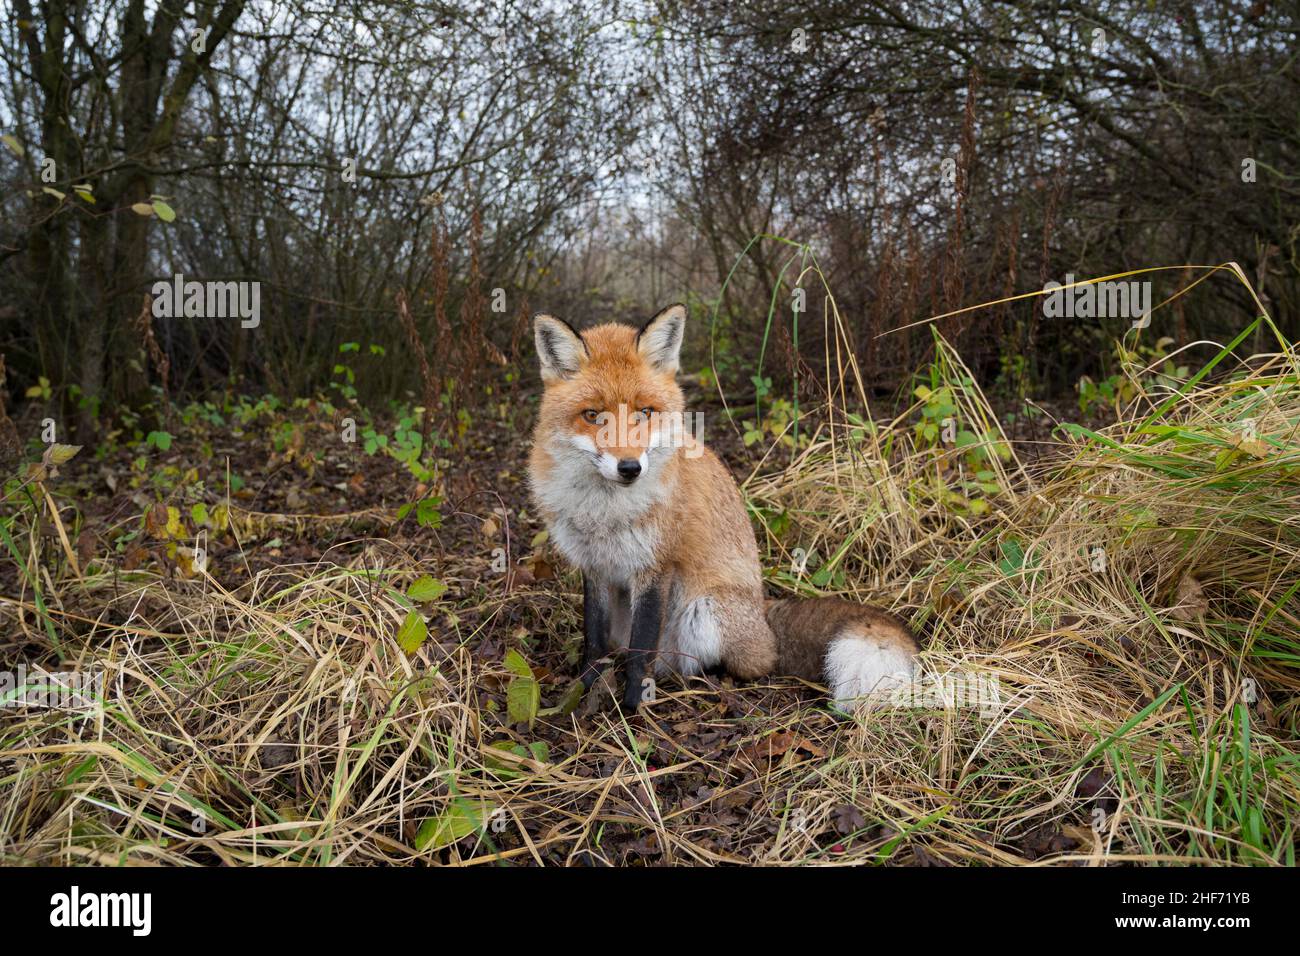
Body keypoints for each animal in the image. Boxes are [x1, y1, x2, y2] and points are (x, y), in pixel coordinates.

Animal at [528, 303, 919, 714]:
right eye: (593, 415)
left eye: (645, 412)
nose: (630, 468)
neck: (604, 512)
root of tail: (762, 610)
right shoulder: (595, 566)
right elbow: (594, 640)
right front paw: (585, 690)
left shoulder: (656, 566)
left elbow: (641, 651)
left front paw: (635, 706)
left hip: (705, 611)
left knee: (746, 663)